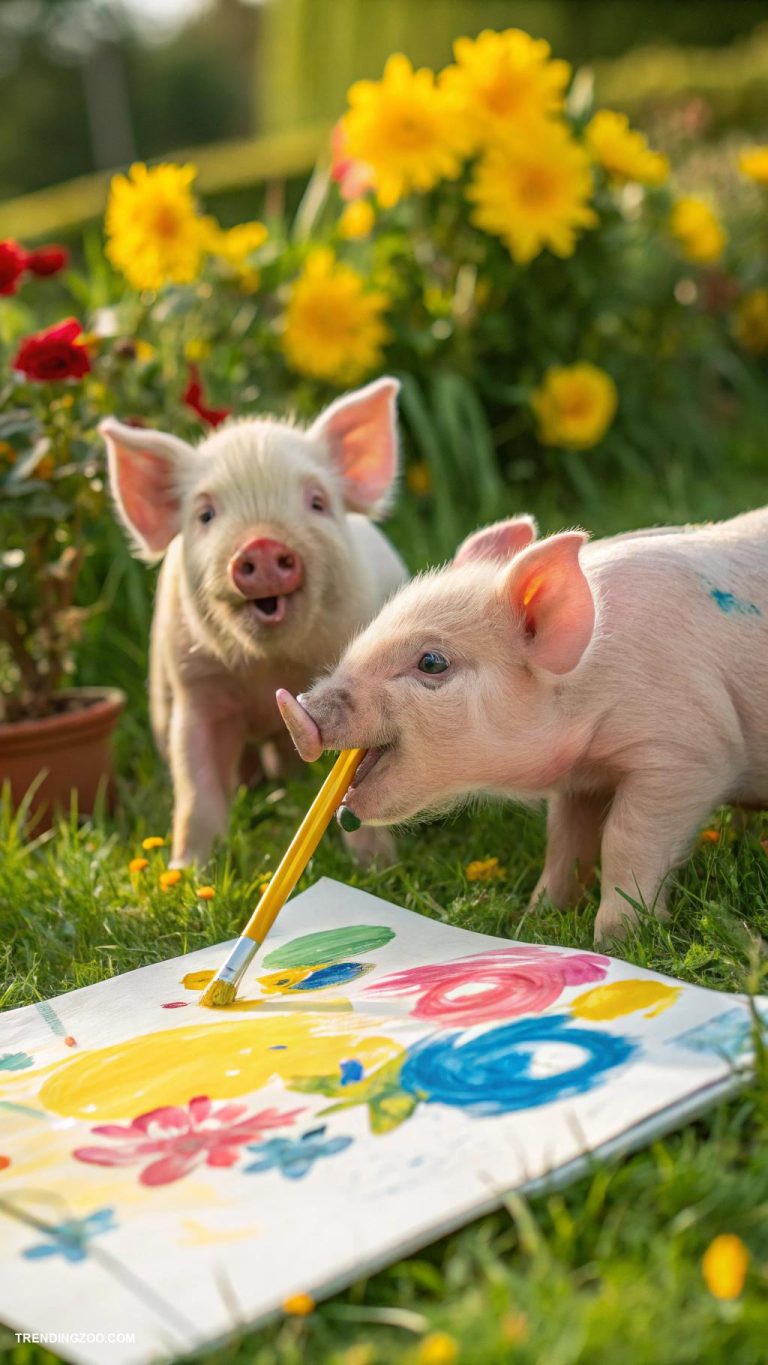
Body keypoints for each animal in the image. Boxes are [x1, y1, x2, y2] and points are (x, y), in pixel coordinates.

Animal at [100, 378, 407, 867]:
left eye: (317, 502)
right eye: (205, 514)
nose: (261, 543)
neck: (270, 668)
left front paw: (377, 868)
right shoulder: (196, 689)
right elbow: (197, 791)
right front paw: (188, 871)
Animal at [278, 508, 768, 944]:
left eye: (432, 662)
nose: (297, 706)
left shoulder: (686, 753)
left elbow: (625, 841)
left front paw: (615, 943)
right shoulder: (582, 783)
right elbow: (565, 843)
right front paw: (537, 919)